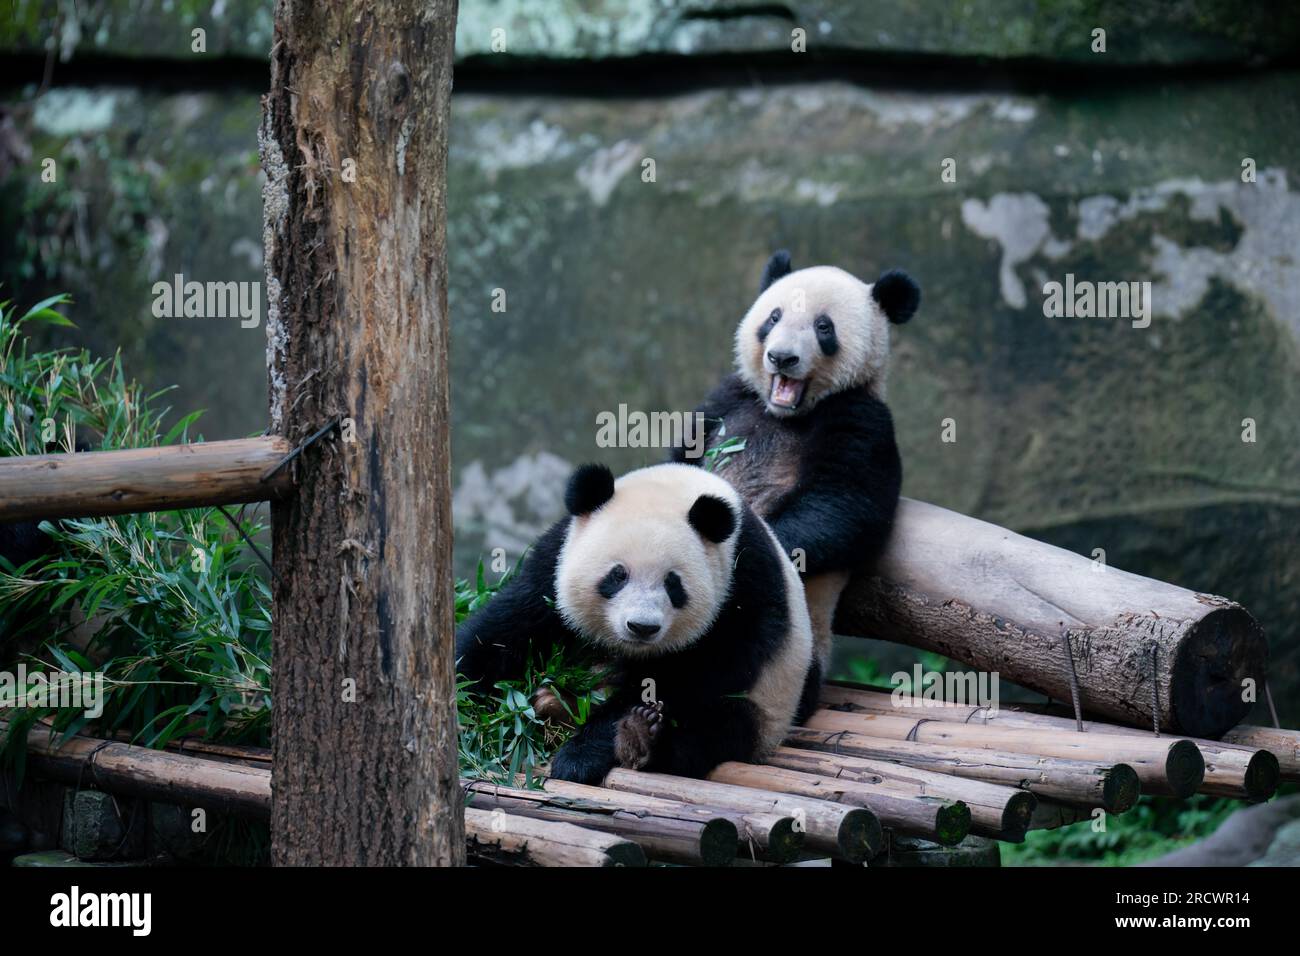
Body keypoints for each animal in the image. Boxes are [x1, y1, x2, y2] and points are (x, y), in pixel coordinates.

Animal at [455, 461, 813, 785]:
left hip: (766, 705)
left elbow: (691, 675)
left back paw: (641, 739)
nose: (642, 627)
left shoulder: (744, 585)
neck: (675, 488)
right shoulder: (556, 556)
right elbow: (510, 625)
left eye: (673, 584)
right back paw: (557, 704)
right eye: (618, 575)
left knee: (712, 730)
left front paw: (579, 757)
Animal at [673, 250, 919, 719]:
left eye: (824, 327)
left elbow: (843, 510)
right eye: (774, 316)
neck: (783, 413)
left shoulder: (861, 420)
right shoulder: (728, 400)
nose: (782, 357)